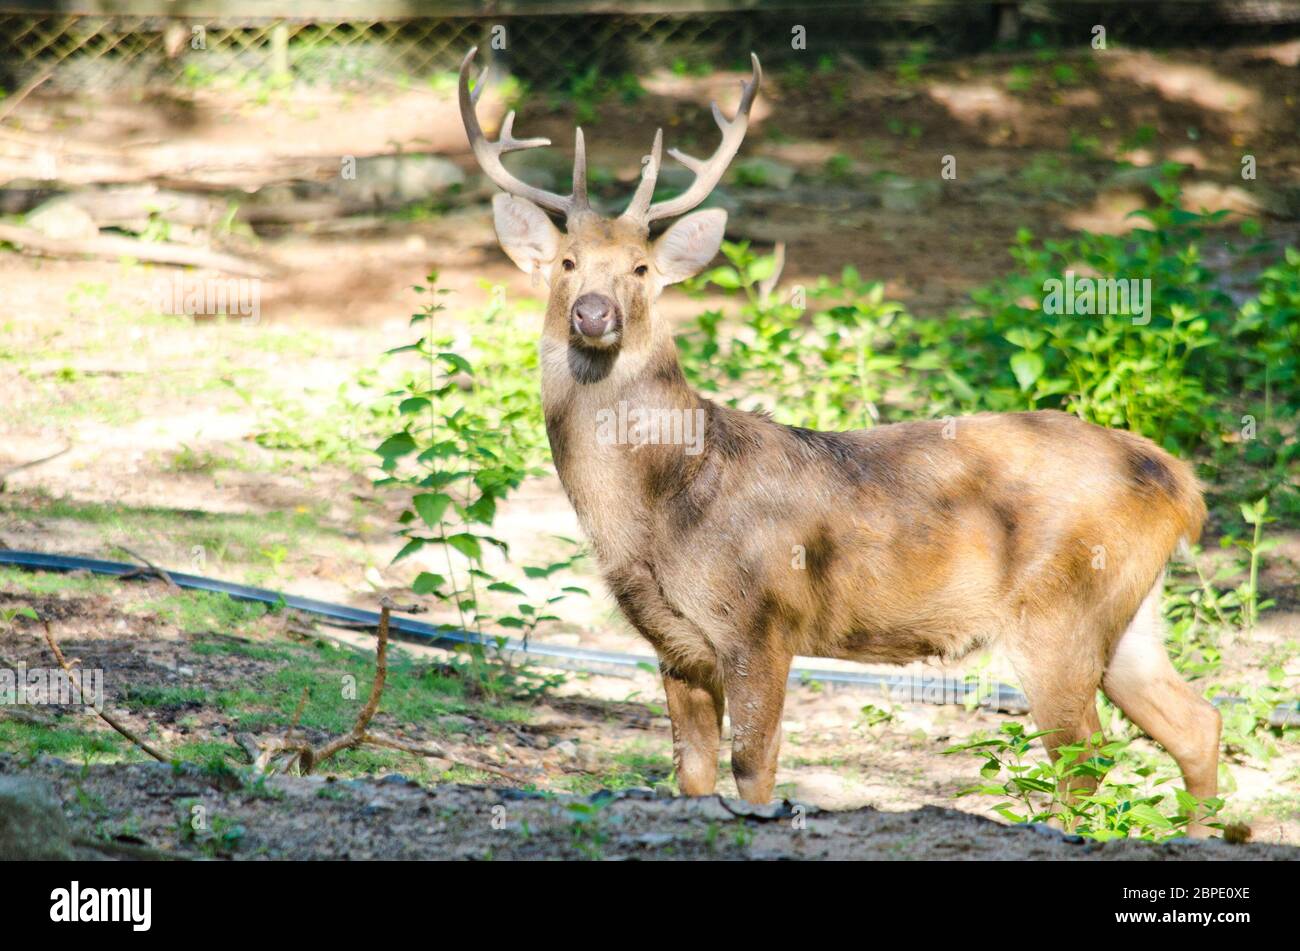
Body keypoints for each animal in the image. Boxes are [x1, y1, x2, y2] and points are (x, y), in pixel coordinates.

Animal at [457, 48, 1222, 832]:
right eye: (568, 262)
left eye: (641, 268)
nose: (593, 312)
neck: (665, 502)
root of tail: (1180, 482)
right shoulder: (676, 643)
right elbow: (691, 774)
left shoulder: (761, 621)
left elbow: (754, 768)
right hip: (1128, 609)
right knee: (1196, 721)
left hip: (1060, 608)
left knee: (1085, 763)